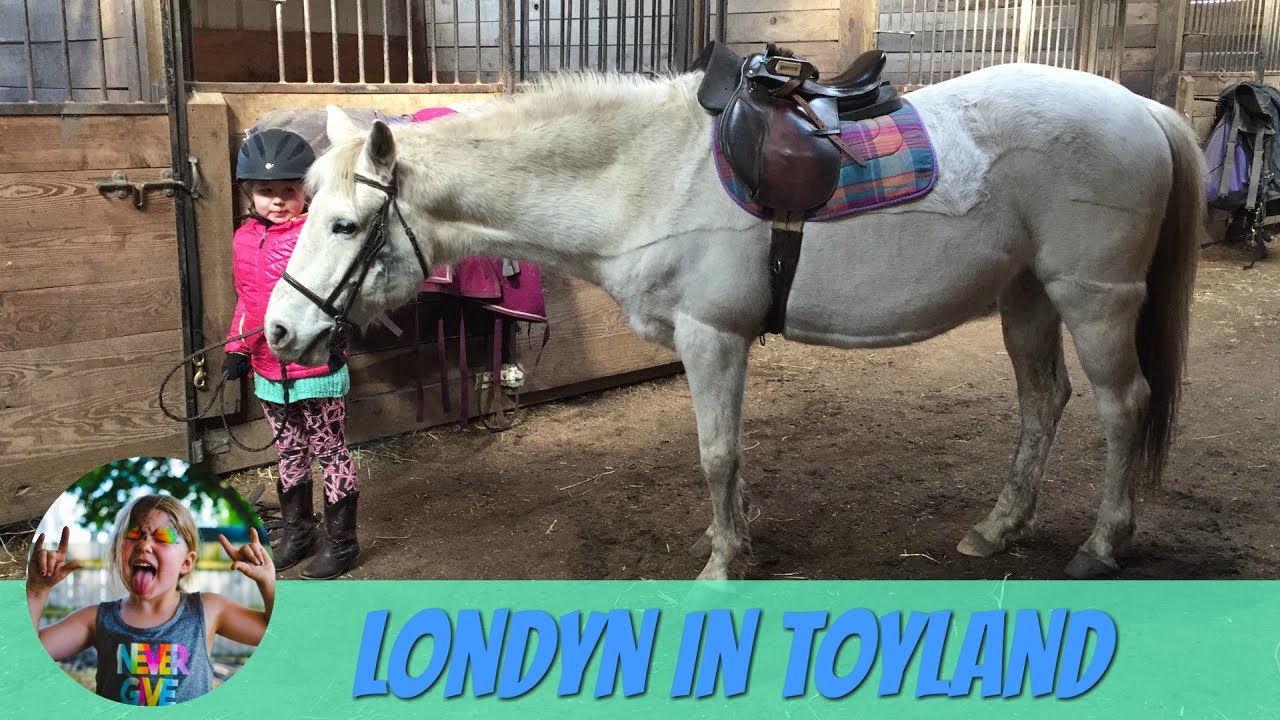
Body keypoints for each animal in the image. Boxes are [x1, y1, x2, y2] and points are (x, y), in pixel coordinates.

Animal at [262, 61, 1205, 580]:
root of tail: (1143, 109)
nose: (277, 334)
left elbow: (717, 453)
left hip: (1095, 299)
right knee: (1044, 404)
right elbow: (734, 457)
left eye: (343, 225)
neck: (645, 171)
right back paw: (998, 529)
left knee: (1122, 408)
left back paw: (1102, 545)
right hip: (1027, 300)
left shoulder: (711, 337)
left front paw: (722, 562)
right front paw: (736, 540)